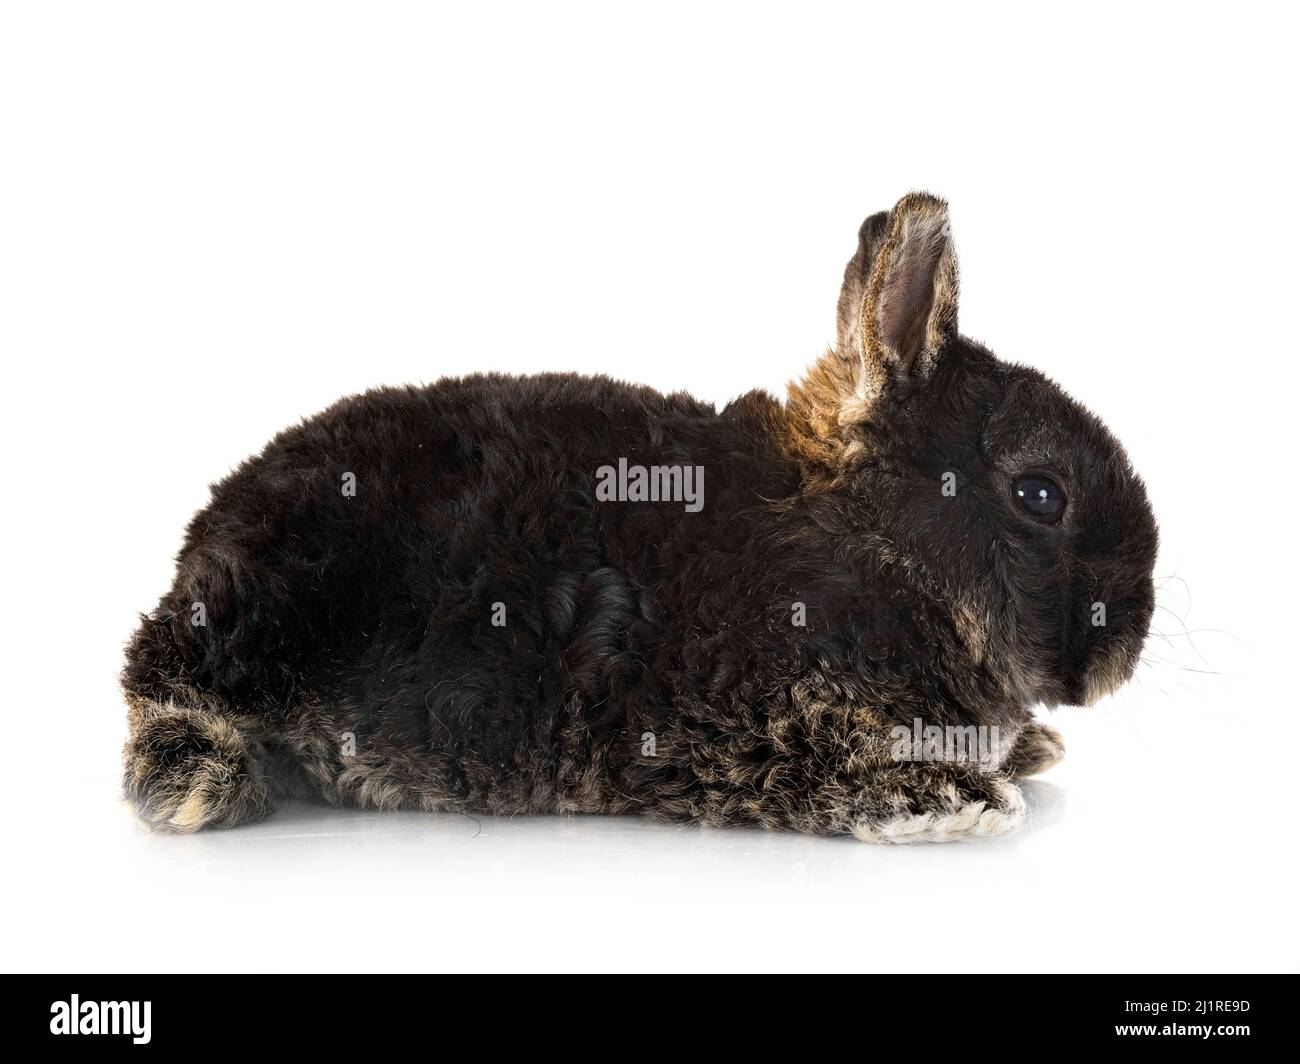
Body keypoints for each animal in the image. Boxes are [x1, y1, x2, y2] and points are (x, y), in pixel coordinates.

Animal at [122, 191, 1157, 842]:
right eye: (1039, 494)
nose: (1124, 651)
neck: (869, 547)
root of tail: (192, 567)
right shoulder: (748, 722)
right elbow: (830, 776)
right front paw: (959, 799)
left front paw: (1027, 752)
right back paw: (194, 774)